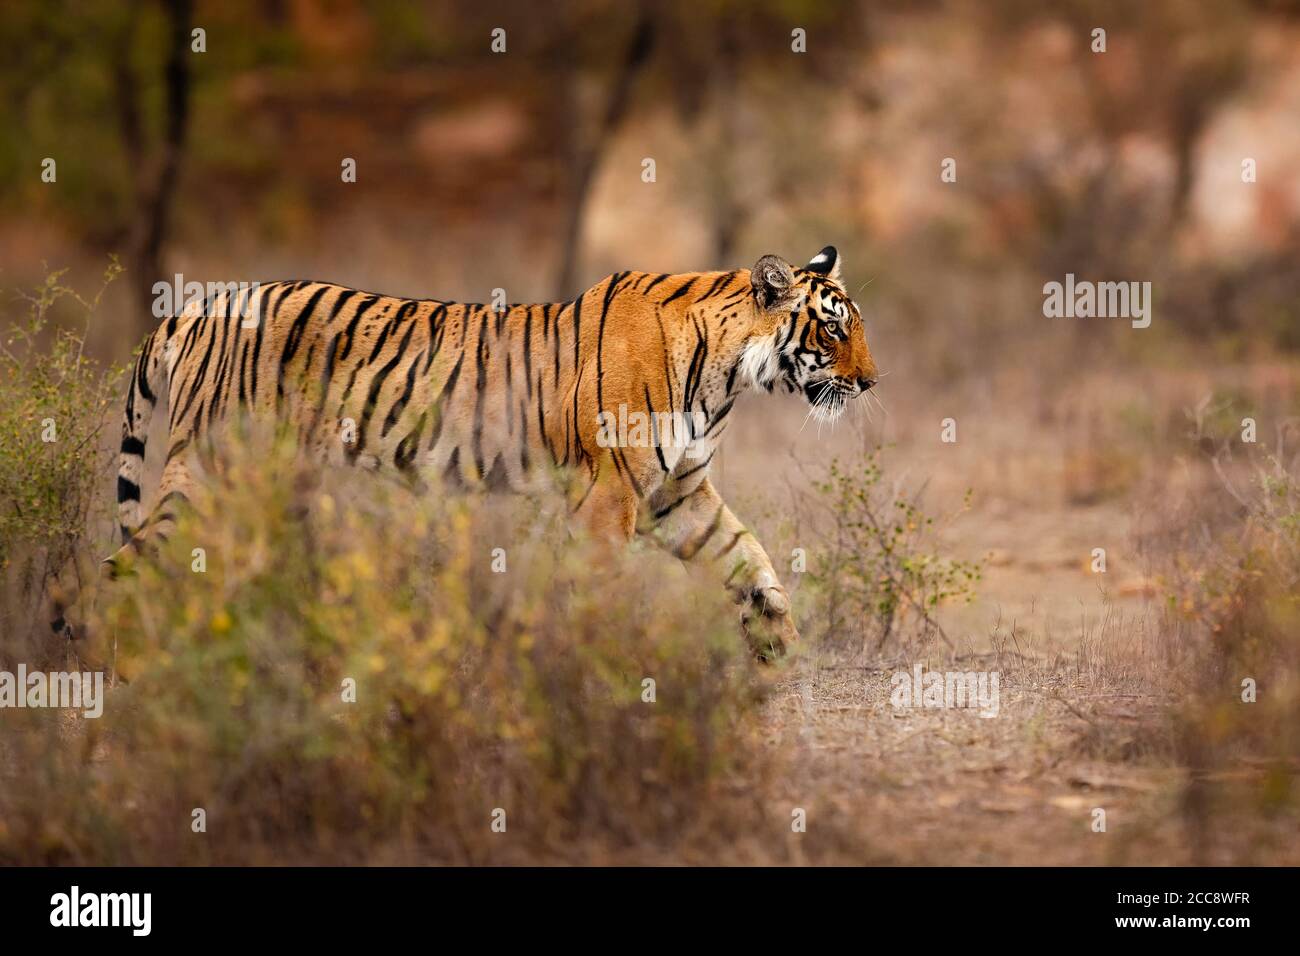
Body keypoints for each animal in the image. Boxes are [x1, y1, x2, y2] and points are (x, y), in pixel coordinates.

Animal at [108, 245, 878, 658]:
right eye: (834, 331)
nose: (873, 382)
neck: (729, 378)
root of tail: (197, 303)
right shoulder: (610, 496)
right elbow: (601, 589)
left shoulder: (677, 495)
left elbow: (750, 559)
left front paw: (780, 646)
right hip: (212, 475)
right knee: (129, 566)